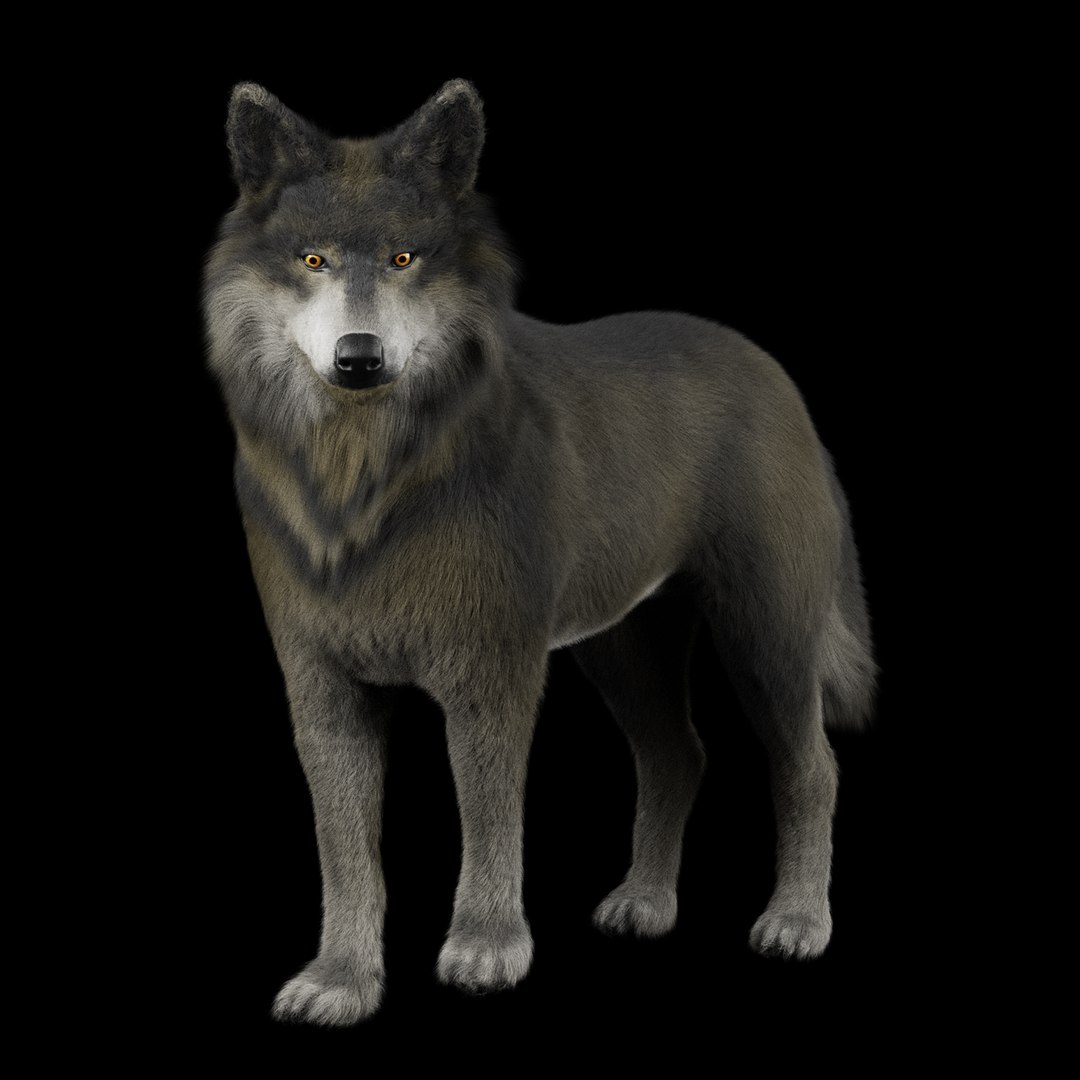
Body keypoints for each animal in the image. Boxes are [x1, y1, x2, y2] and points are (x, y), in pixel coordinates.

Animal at [203, 79, 877, 1026]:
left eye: (405, 259)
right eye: (313, 261)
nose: (359, 358)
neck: (363, 486)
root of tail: (777, 375)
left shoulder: (492, 673)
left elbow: (488, 815)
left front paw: (486, 949)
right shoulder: (322, 688)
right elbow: (346, 852)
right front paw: (339, 981)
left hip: (764, 638)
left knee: (811, 767)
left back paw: (797, 922)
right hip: (622, 649)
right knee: (680, 755)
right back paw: (643, 904)